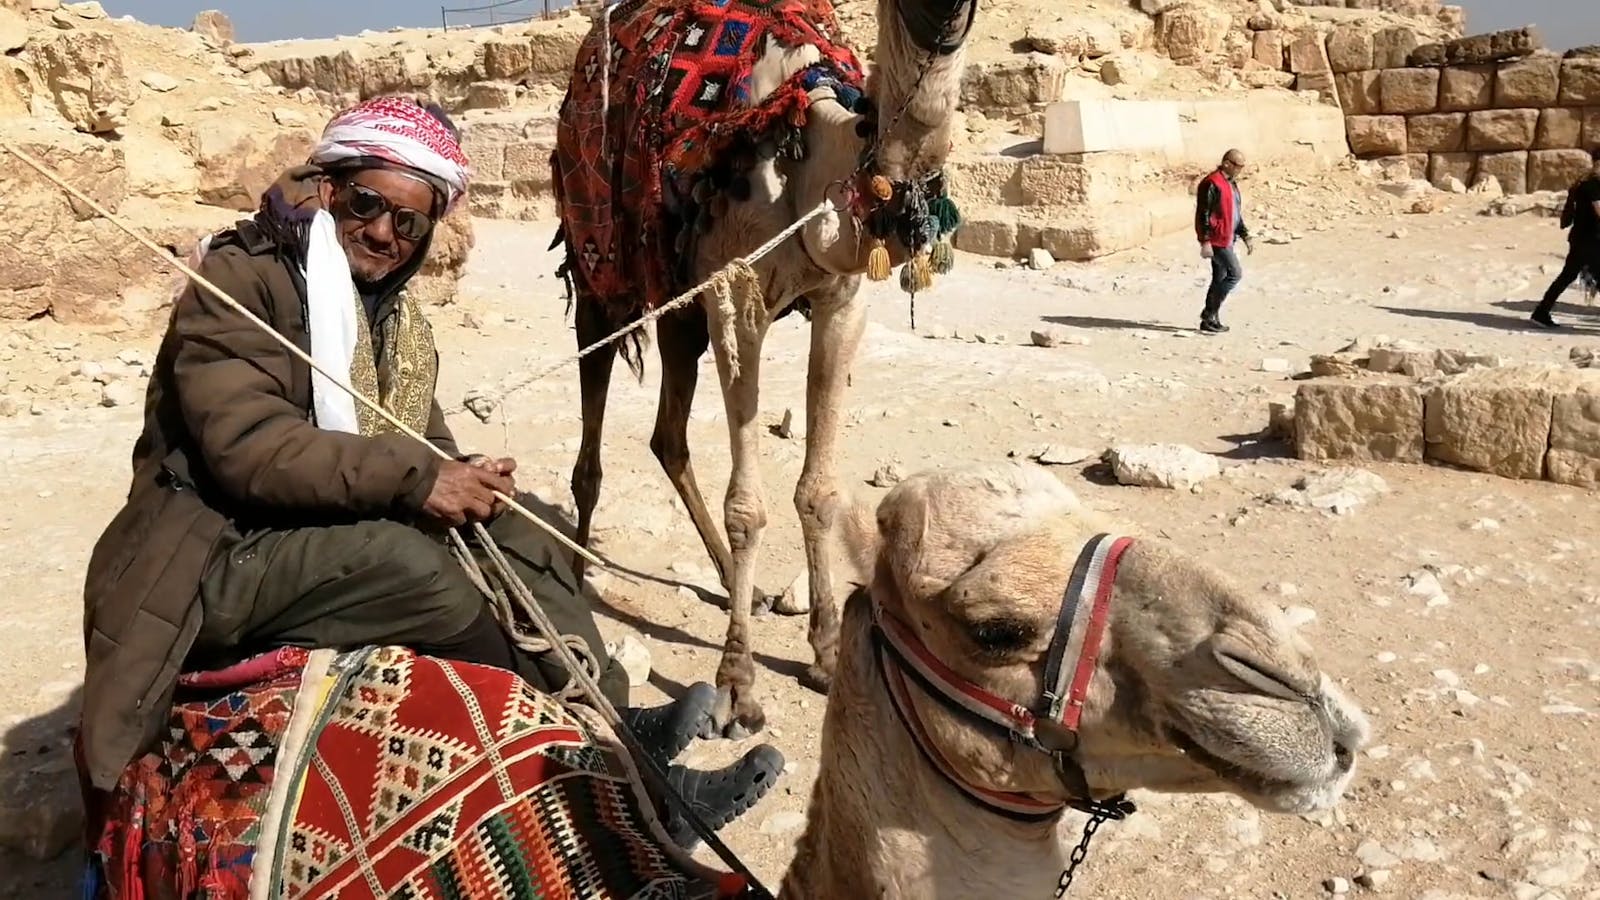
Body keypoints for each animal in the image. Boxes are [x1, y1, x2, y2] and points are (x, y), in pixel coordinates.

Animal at [552, 0, 979, 736]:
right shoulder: (735, 296)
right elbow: (746, 506)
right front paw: (736, 687)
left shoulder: (840, 299)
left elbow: (821, 491)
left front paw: (825, 652)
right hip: (601, 262)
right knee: (595, 397)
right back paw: (579, 573)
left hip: (678, 301)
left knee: (668, 434)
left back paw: (729, 581)